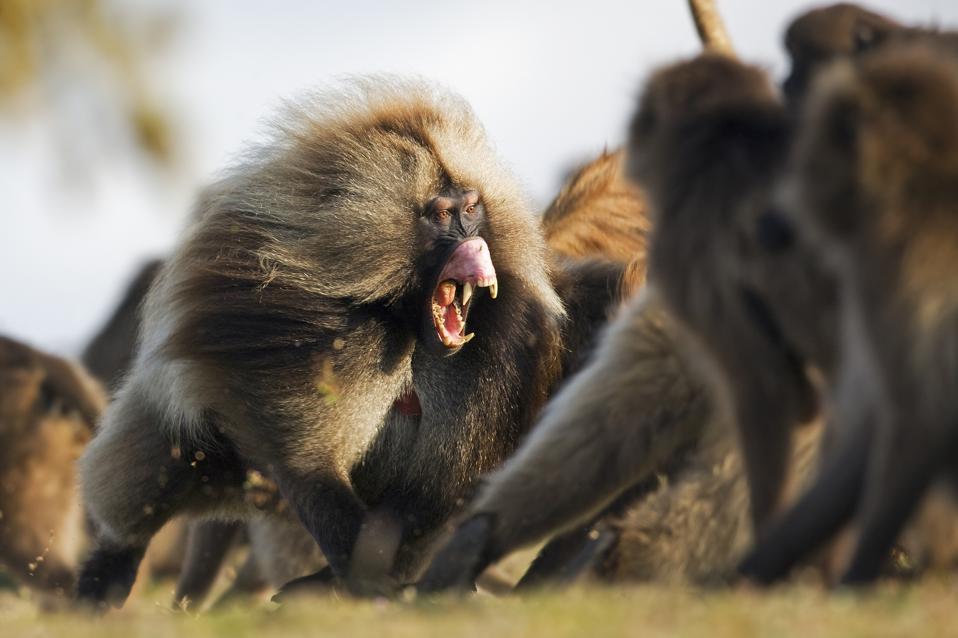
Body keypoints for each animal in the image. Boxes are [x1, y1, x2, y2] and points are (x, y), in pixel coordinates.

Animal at [75, 78, 653, 609]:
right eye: (442, 215)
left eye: (472, 208)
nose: (473, 239)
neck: (409, 328)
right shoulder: (329, 340)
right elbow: (309, 464)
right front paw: (368, 584)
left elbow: (437, 496)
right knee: (161, 471)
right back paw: (107, 576)